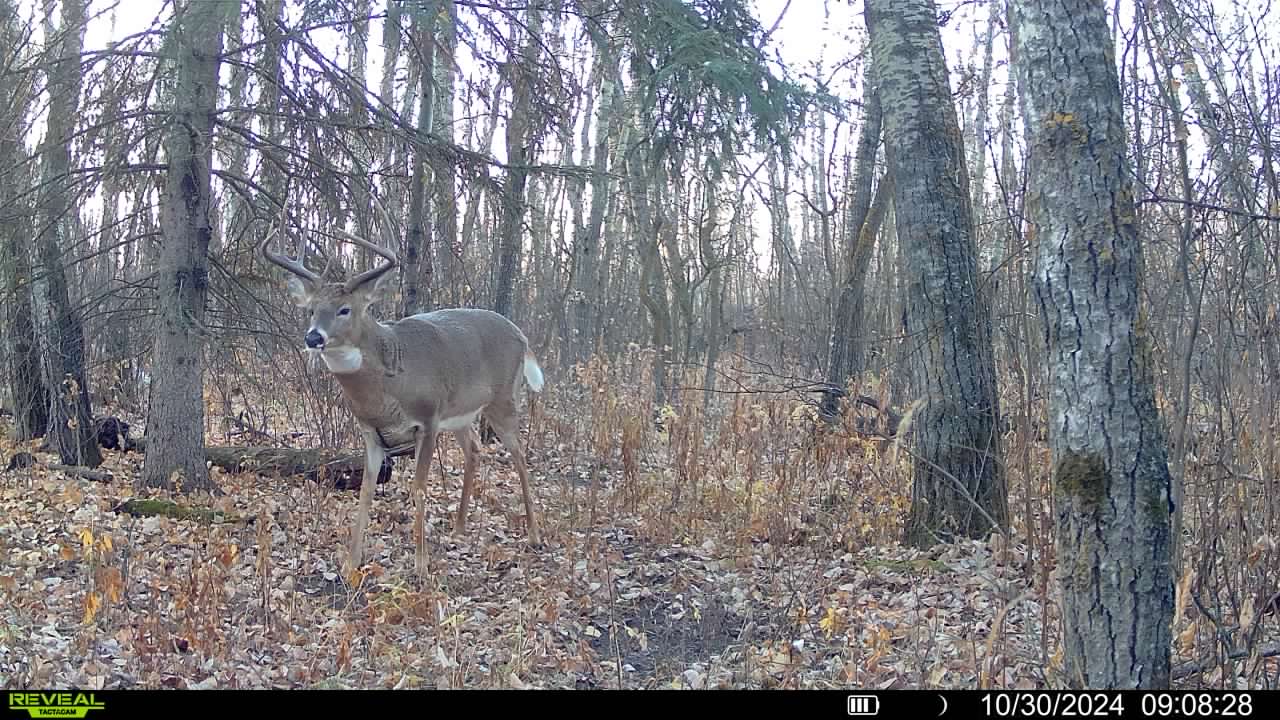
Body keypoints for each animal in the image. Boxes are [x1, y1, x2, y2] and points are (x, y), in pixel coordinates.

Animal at [260, 223, 544, 577]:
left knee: (519, 455)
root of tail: (521, 334)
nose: (313, 337)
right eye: (311, 310)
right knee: (475, 448)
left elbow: (419, 487)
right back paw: (459, 528)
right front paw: (351, 562)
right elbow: (366, 489)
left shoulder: (428, 419)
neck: (387, 387)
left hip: (503, 398)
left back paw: (533, 535)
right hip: (461, 413)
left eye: (344, 309)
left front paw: (421, 566)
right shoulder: (370, 431)